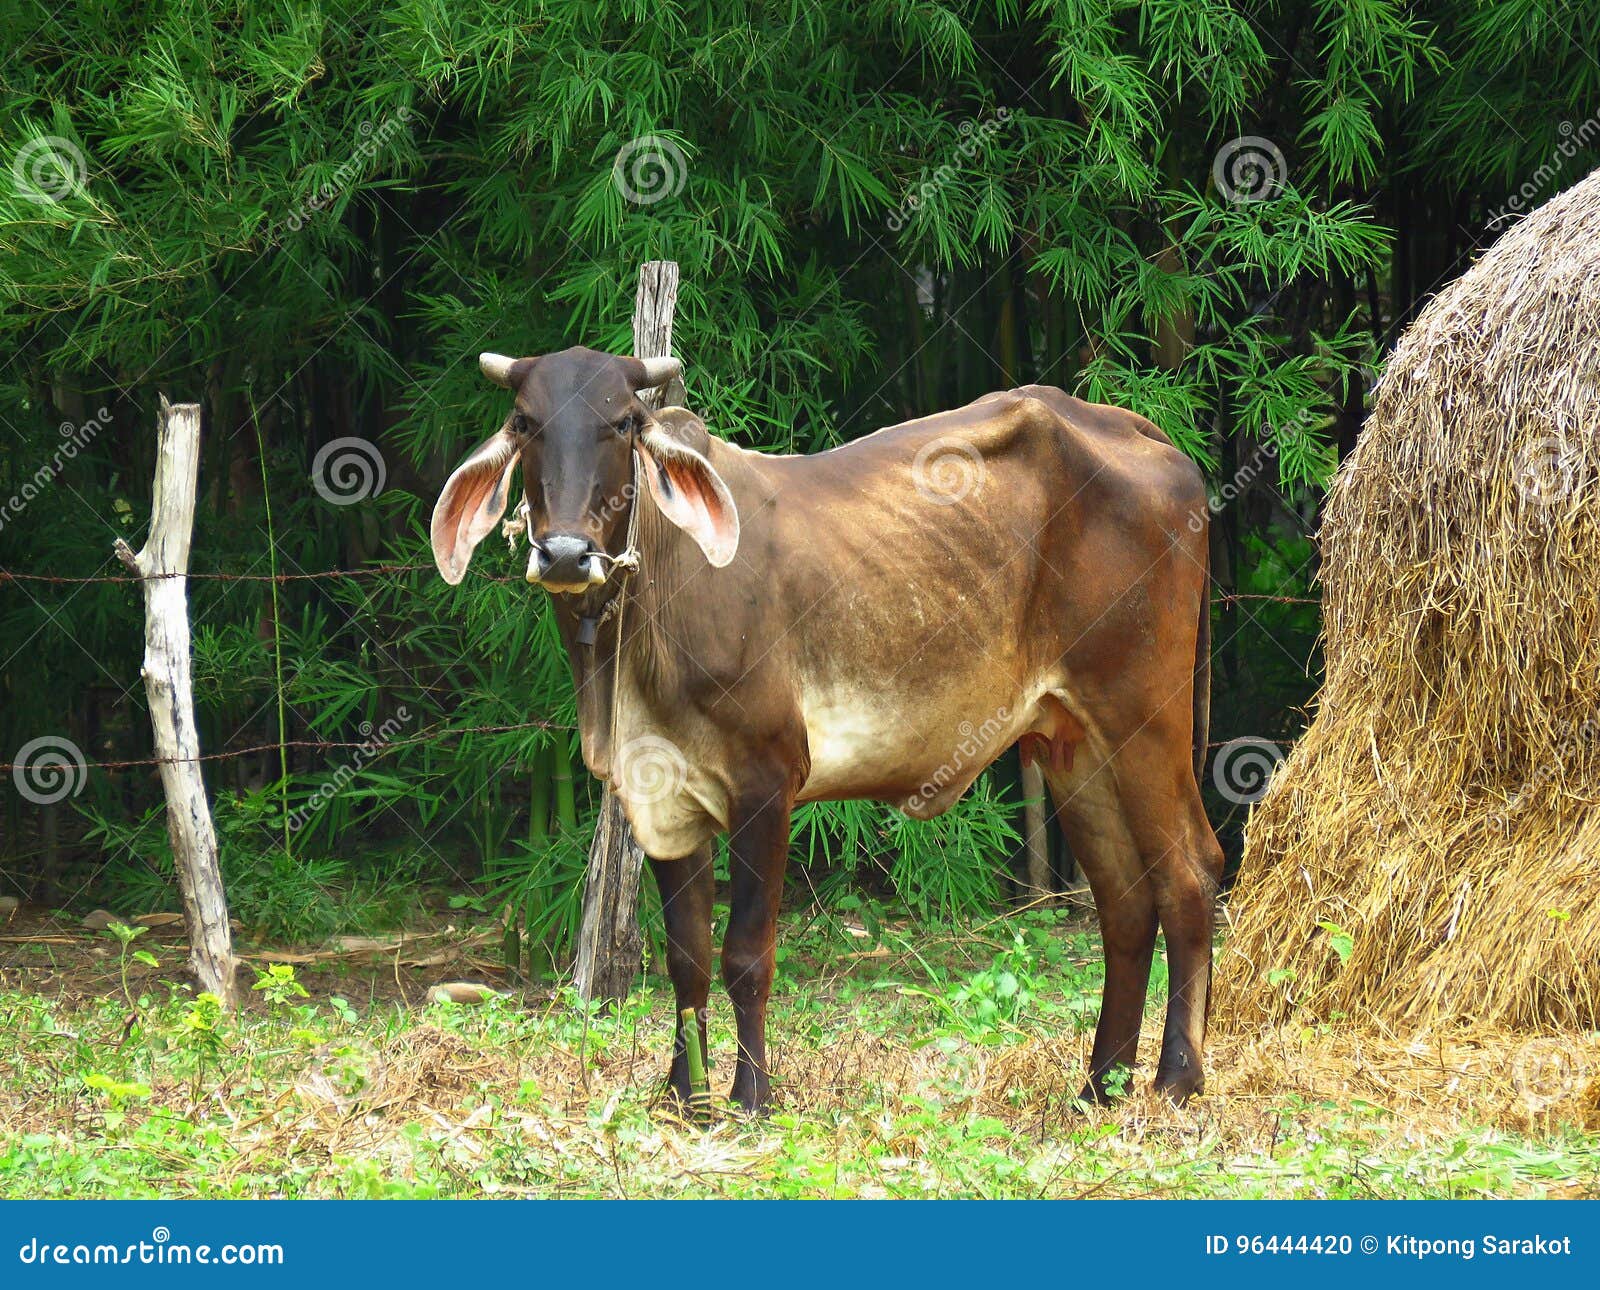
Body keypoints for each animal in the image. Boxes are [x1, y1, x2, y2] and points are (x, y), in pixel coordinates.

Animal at [431, 345, 1223, 1114]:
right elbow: (686, 958)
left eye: (623, 422)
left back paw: (1175, 1082)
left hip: (1142, 716)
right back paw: (1098, 1089)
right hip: (1073, 742)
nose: (565, 554)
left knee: (1190, 871)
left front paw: (752, 1098)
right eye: (525, 421)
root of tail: (1141, 433)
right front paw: (683, 1096)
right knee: (1124, 902)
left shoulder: (765, 780)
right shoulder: (660, 797)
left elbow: (745, 954)